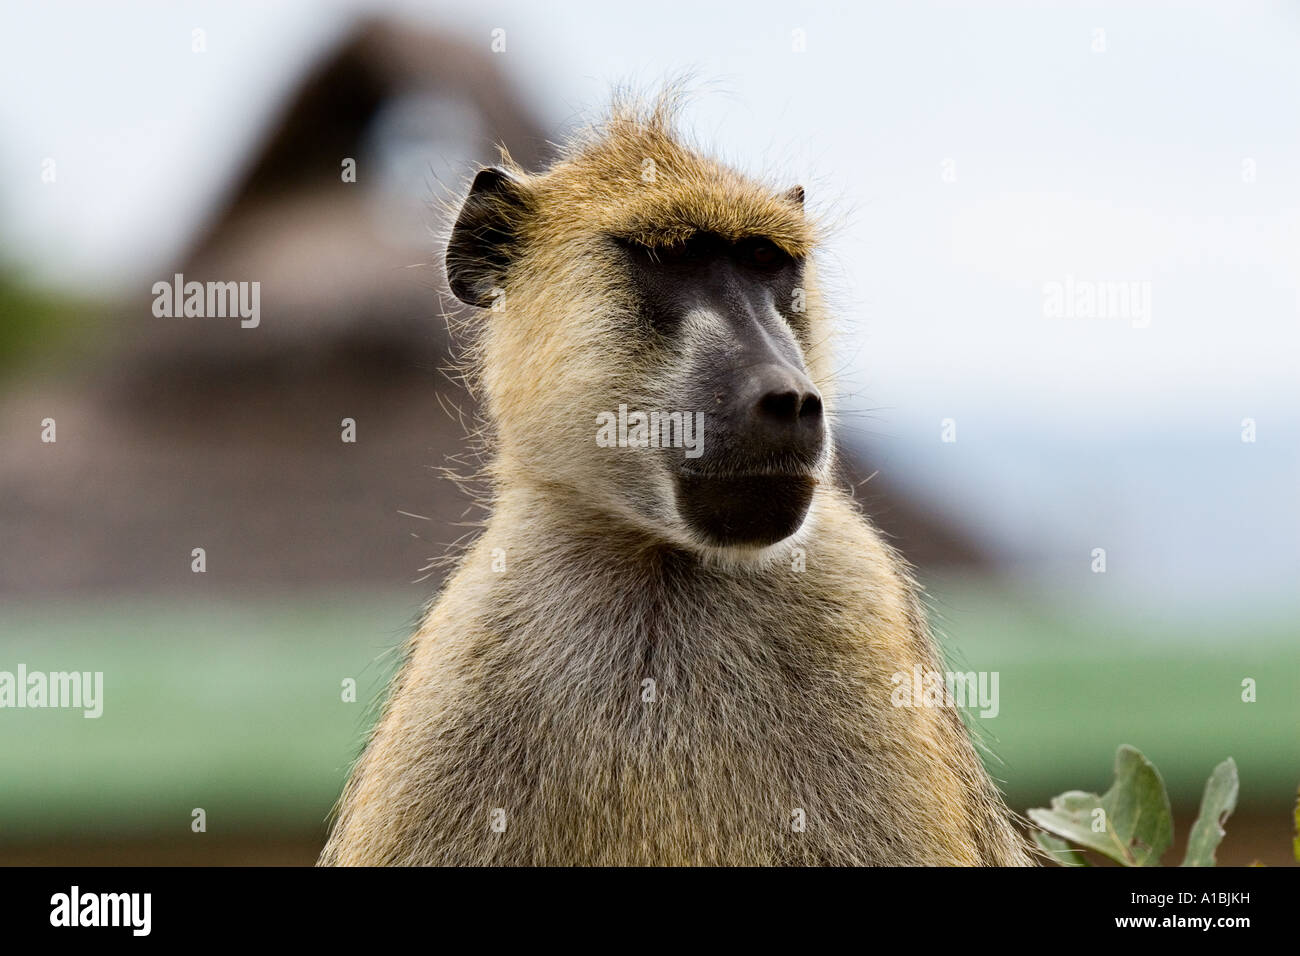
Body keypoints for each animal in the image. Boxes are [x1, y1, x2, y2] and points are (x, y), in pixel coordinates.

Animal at [319, 94, 1034, 866]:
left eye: (763, 262)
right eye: (675, 257)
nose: (790, 398)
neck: (658, 563)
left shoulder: (852, 598)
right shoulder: (472, 651)